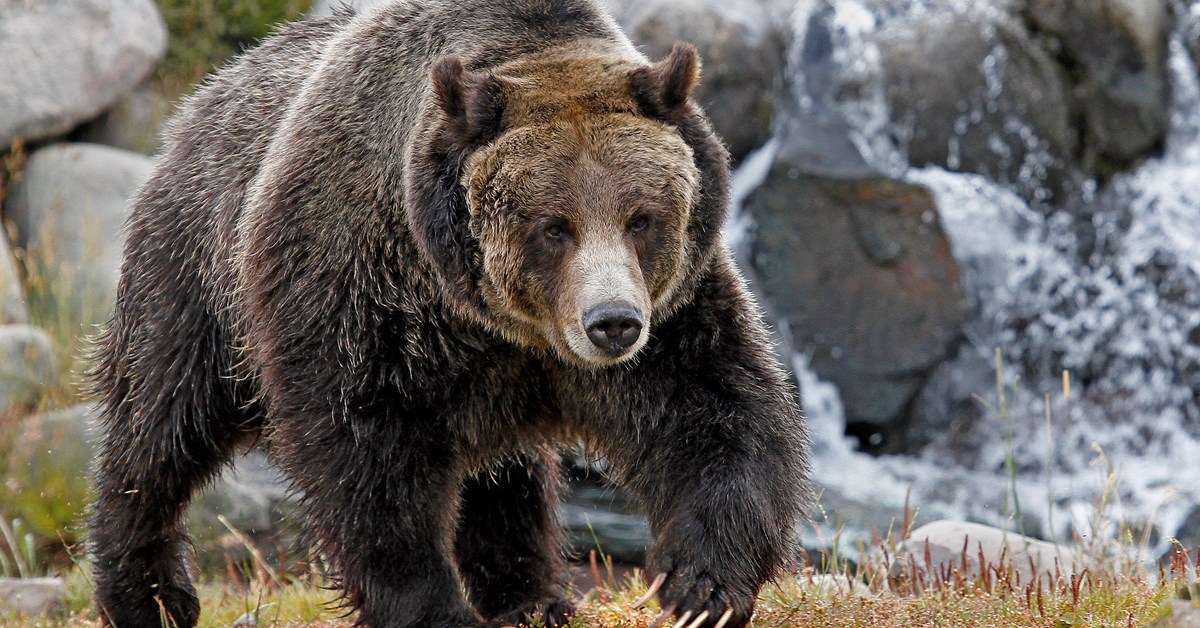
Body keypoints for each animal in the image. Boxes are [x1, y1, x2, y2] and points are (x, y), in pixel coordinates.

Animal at [87, 1, 811, 626]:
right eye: (554, 226)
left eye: (642, 218)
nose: (612, 323)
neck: (498, 322)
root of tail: (207, 96)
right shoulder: (360, 293)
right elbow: (366, 459)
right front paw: (432, 608)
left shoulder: (672, 315)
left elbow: (716, 415)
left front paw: (700, 586)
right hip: (198, 275)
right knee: (162, 427)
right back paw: (148, 593)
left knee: (505, 478)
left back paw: (531, 597)